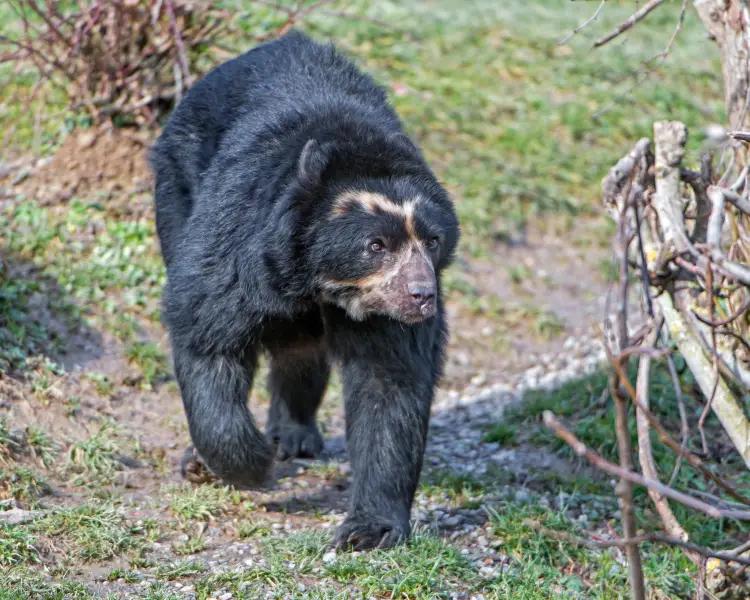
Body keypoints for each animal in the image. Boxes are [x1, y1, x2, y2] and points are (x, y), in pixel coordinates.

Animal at [150, 29, 460, 550]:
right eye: (375, 245)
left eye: (432, 241)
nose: (421, 296)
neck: (320, 281)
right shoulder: (237, 242)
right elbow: (207, 332)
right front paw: (251, 465)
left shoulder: (386, 317)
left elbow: (389, 382)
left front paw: (369, 531)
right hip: (177, 189)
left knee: (300, 348)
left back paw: (293, 435)